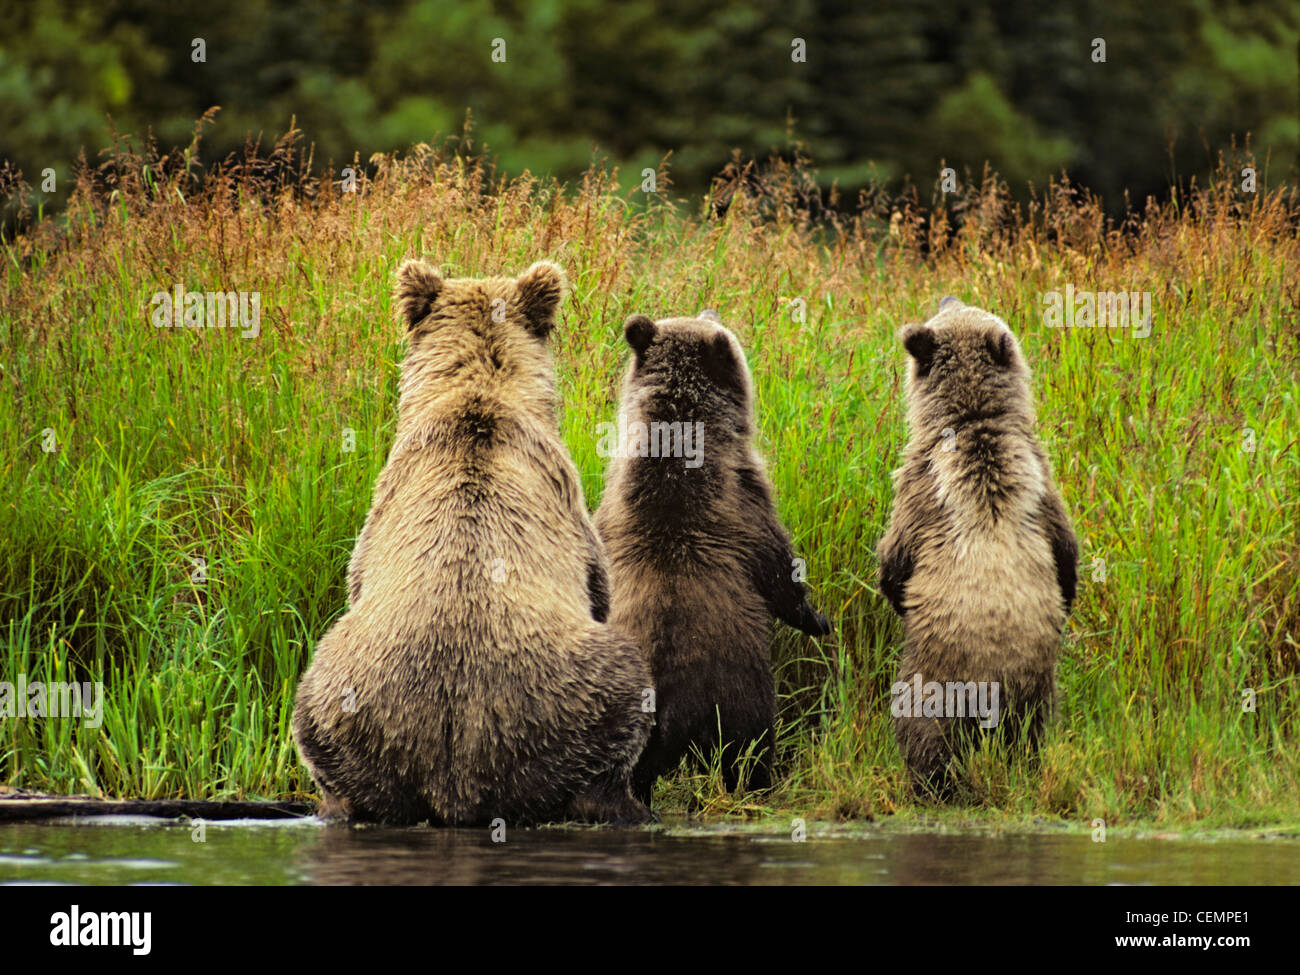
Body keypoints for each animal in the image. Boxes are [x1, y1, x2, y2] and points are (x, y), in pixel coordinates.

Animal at [291, 259, 654, 827]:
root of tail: (454, 773)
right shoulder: (567, 501)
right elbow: (600, 587)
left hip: (343, 702)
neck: (479, 389)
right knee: (624, 694)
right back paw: (627, 803)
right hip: (562, 693)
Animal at [594, 310, 831, 807]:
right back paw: (759, 785)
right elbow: (779, 572)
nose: (713, 313)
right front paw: (817, 617)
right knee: (749, 747)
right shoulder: (746, 501)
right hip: (738, 685)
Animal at [876, 296, 1078, 798]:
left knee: (923, 731)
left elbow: (896, 555)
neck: (971, 419)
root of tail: (994, 682)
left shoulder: (920, 483)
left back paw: (930, 781)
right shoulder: (1043, 482)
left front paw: (891, 585)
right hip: (1037, 686)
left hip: (933, 675)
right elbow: (1066, 550)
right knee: (1030, 733)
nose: (948, 298)